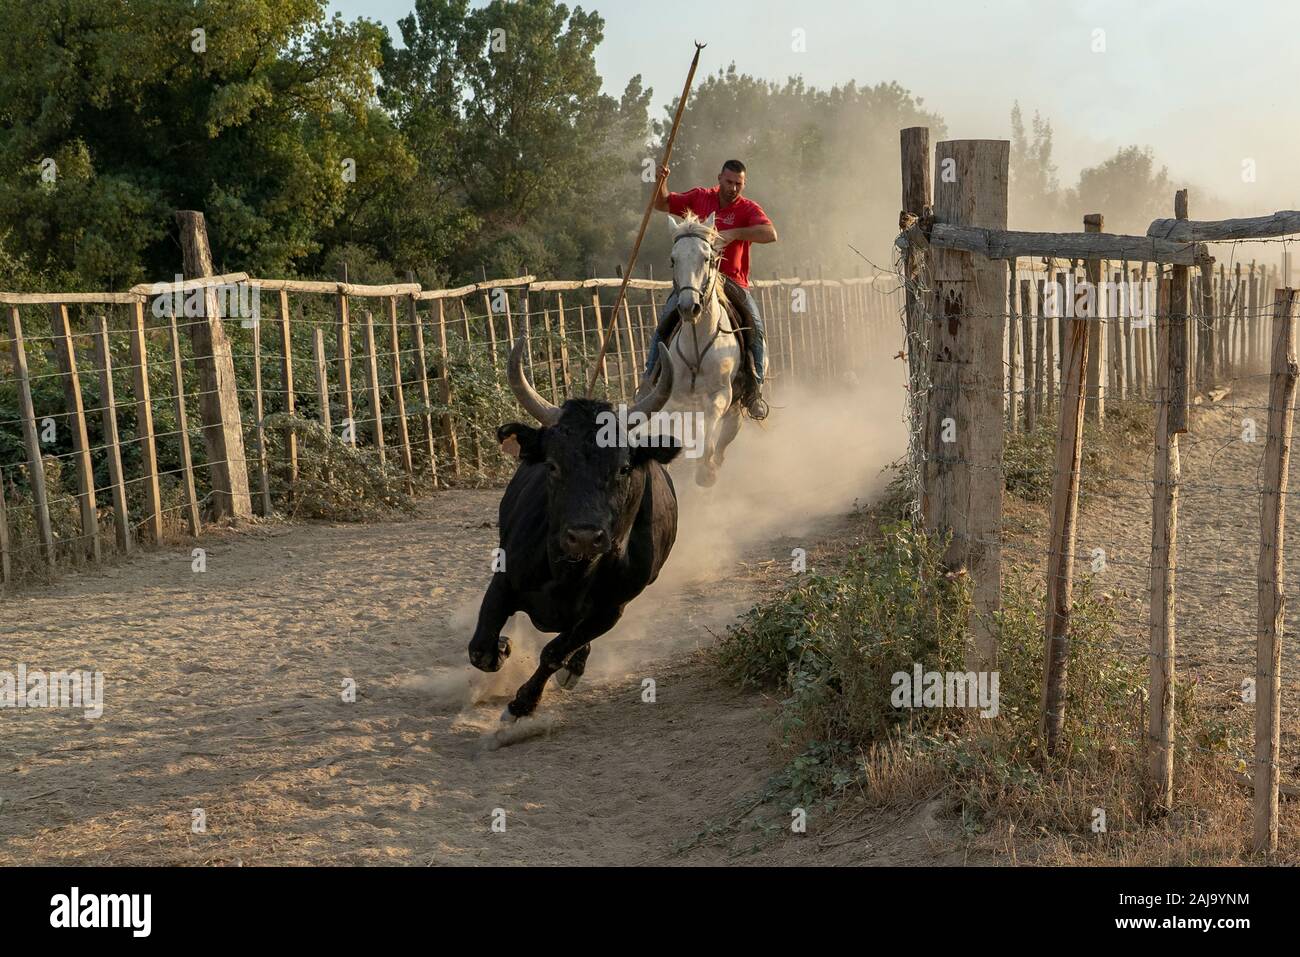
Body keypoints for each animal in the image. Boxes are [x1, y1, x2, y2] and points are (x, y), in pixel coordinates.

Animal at [466, 334, 682, 722]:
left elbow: (555, 652)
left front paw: (521, 704)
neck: (570, 573)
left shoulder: (610, 610)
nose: (584, 537)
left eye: (623, 468)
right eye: (552, 465)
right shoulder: (504, 579)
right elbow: (482, 650)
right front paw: (503, 648)